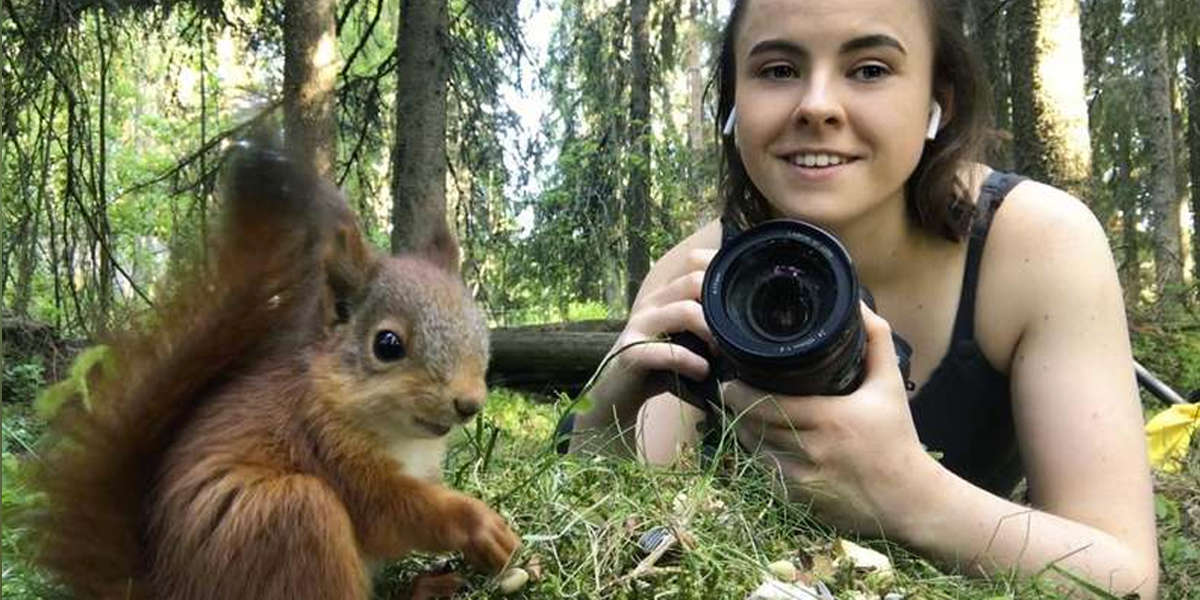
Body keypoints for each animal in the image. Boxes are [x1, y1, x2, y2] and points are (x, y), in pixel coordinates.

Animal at [27, 143, 520, 599]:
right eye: (387, 344)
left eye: (481, 329)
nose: (469, 403)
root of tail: (165, 589)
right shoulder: (326, 445)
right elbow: (394, 513)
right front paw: (480, 524)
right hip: (291, 516)